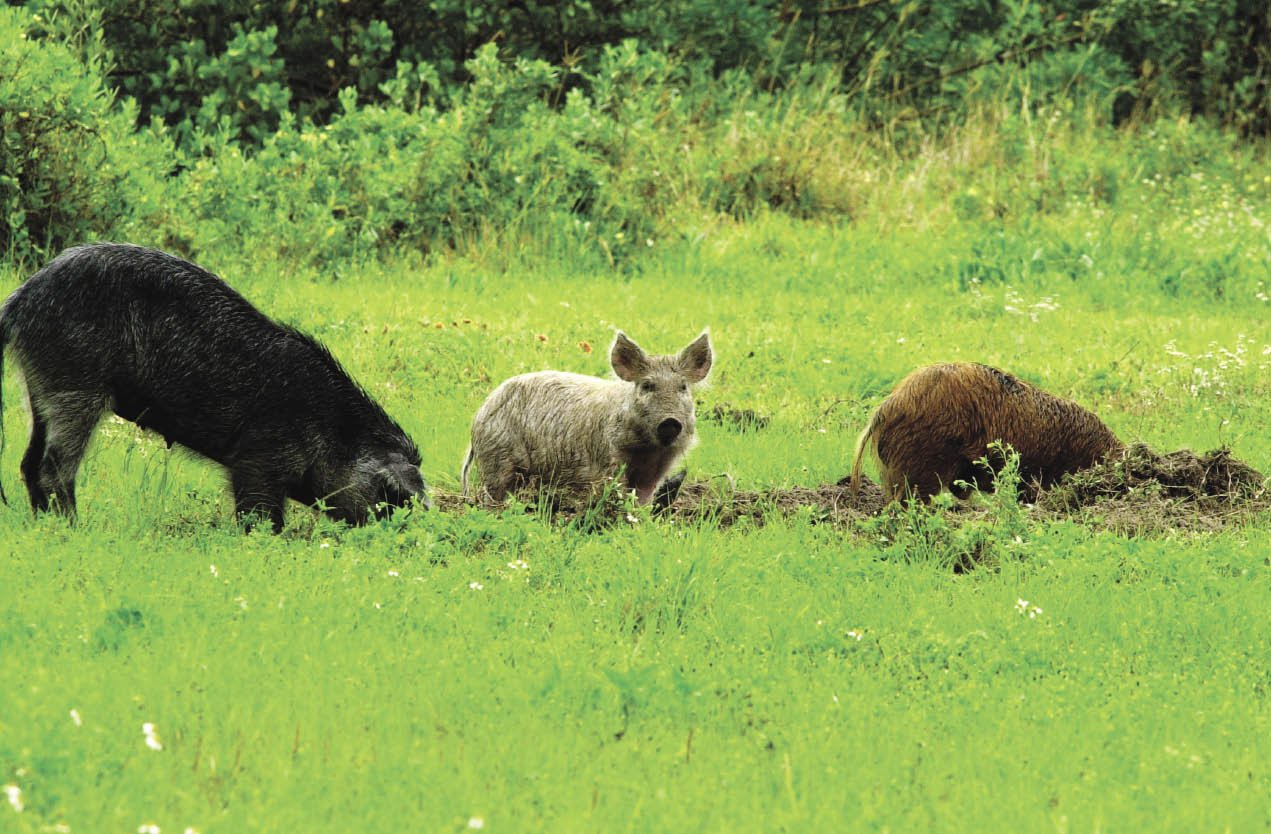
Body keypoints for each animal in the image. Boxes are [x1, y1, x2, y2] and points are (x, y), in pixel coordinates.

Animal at [0, 243, 427, 531]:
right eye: (389, 497)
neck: (332, 429)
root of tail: (19, 300)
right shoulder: (258, 457)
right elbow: (258, 510)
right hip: (74, 385)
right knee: (54, 464)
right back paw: (74, 528)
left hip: (37, 388)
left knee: (28, 461)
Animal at [462, 330, 713, 506]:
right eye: (647, 386)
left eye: (683, 387)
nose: (670, 422)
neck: (648, 450)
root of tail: (479, 415)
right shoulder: (608, 456)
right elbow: (614, 490)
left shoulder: (659, 467)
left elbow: (643, 497)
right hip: (497, 455)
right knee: (493, 492)